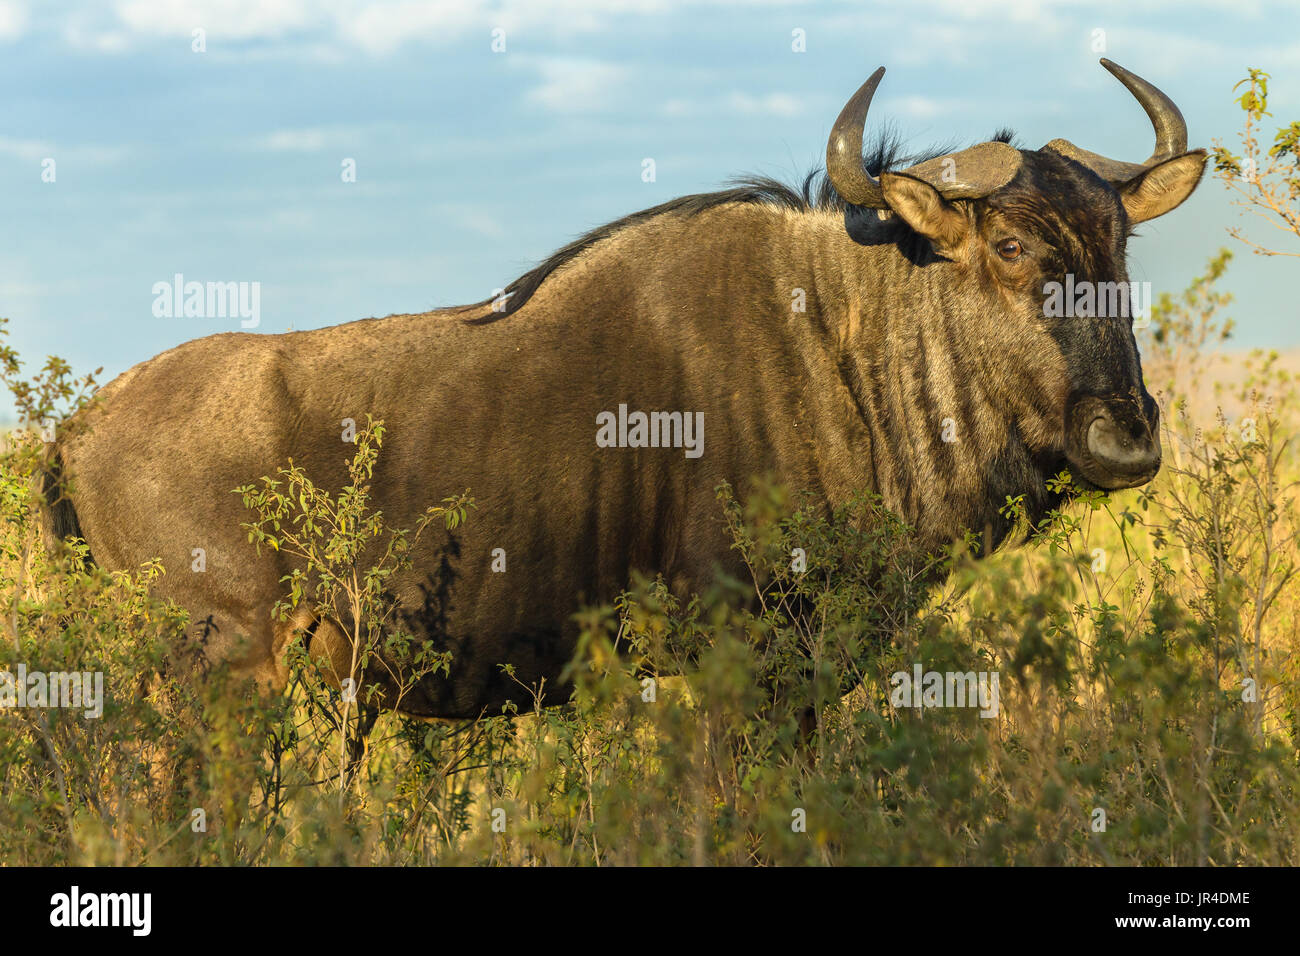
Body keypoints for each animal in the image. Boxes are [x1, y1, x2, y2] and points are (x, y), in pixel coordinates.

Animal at [41, 59, 1206, 720]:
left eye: (1119, 244)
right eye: (1007, 245)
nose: (1126, 441)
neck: (840, 345)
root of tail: (76, 430)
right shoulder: (750, 653)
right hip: (223, 669)